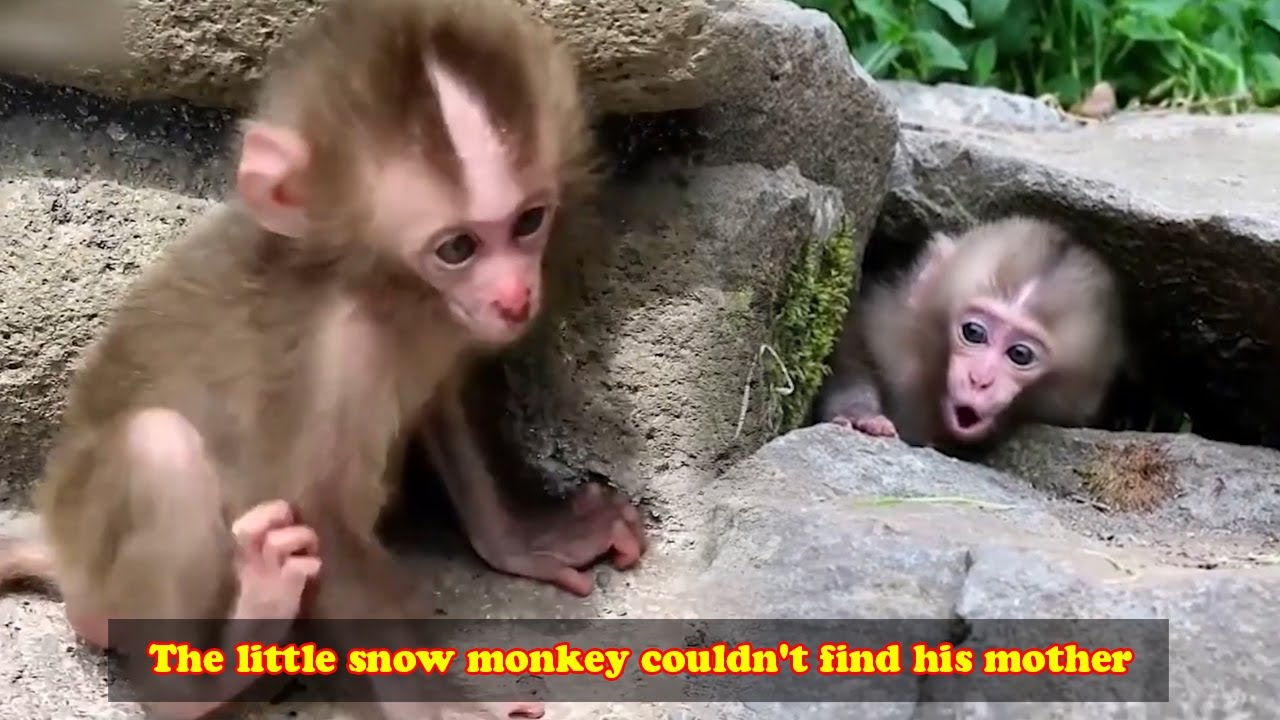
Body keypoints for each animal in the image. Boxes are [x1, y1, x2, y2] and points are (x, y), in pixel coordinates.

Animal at [0, 0, 647, 717]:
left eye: (529, 221)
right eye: (457, 248)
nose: (515, 295)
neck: (393, 292)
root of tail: (60, 548)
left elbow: (445, 405)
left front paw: (528, 541)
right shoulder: (330, 355)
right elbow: (320, 514)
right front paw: (437, 703)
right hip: (101, 564)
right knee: (159, 445)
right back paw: (206, 674)